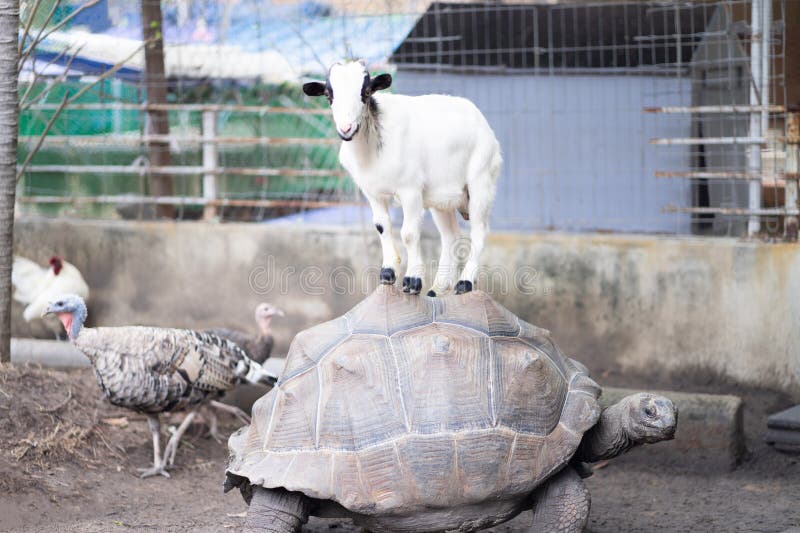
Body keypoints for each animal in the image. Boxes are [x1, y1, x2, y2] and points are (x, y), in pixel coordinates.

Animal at [303, 60, 501, 296]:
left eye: (366, 92)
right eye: (328, 95)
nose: (346, 128)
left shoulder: (410, 189)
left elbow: (409, 232)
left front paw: (412, 281)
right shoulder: (372, 192)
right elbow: (381, 226)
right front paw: (387, 273)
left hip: (481, 179)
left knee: (479, 230)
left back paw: (465, 282)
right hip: (441, 198)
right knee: (451, 235)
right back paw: (437, 289)